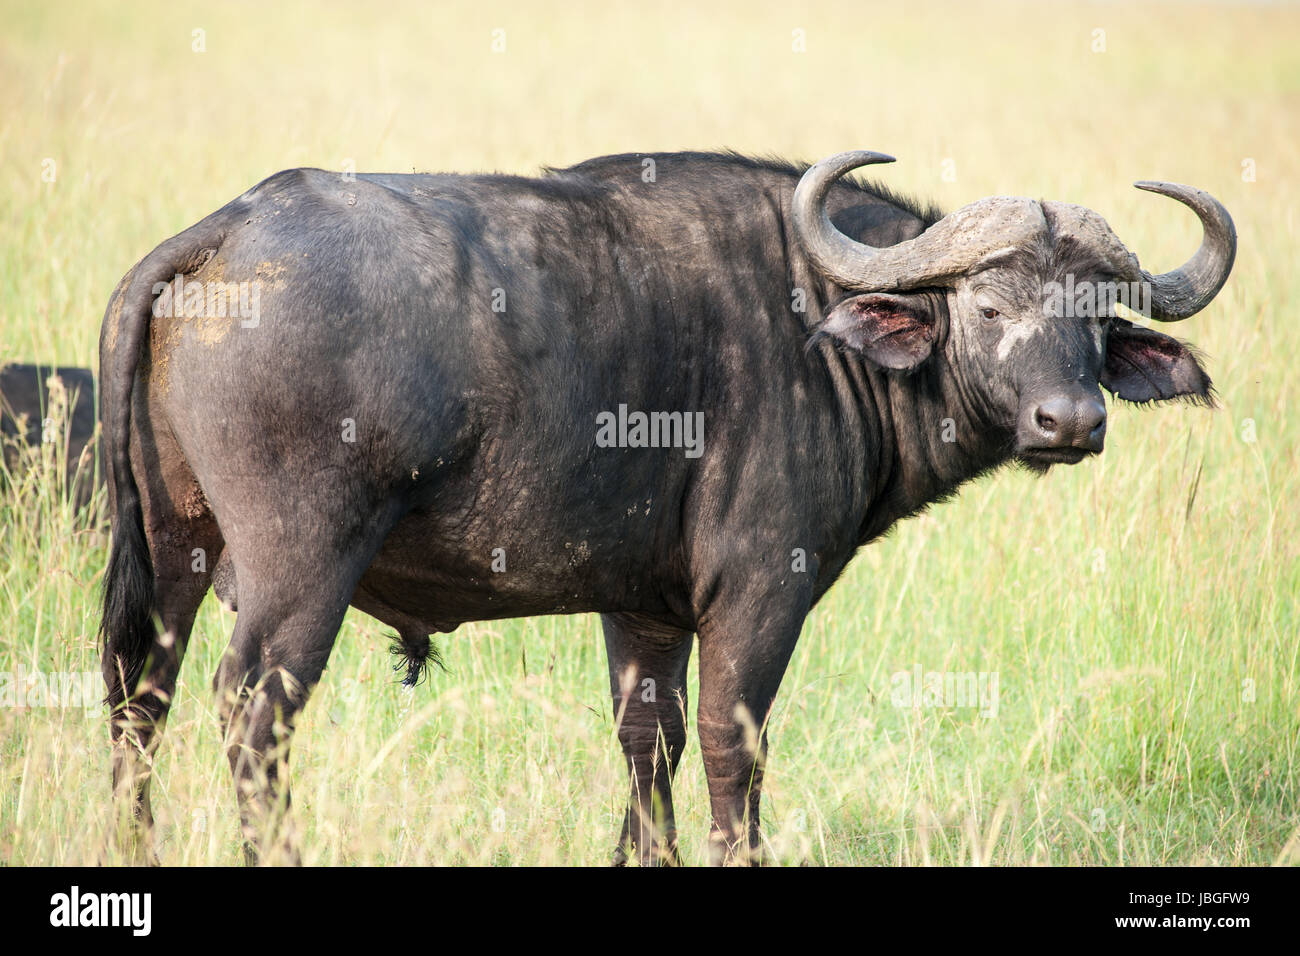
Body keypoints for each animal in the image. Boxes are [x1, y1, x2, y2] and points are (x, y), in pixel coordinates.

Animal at [100, 150, 1235, 864]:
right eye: (989, 305)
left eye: (1096, 320)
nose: (1069, 419)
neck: (816, 327)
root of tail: (226, 231)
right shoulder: (757, 594)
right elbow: (738, 748)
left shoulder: (641, 610)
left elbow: (651, 745)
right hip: (299, 569)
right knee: (252, 711)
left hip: (172, 553)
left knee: (138, 698)